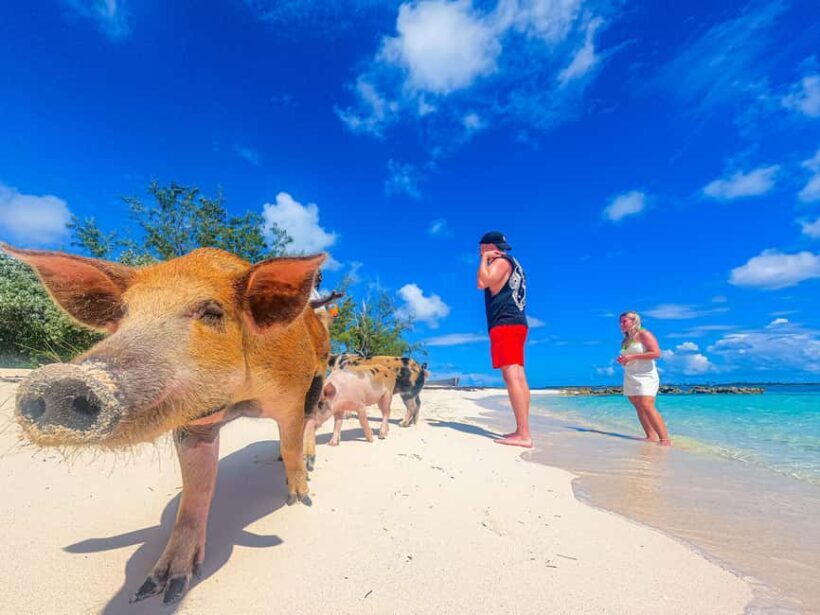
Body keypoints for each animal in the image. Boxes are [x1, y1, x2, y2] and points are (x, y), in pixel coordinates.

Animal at [2, 244, 329, 605]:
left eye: (212, 311)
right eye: (124, 313)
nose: (62, 381)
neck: (238, 400)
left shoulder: (291, 395)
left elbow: (291, 441)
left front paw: (300, 498)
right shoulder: (193, 426)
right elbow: (196, 490)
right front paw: (158, 591)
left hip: (319, 372)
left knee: (311, 420)